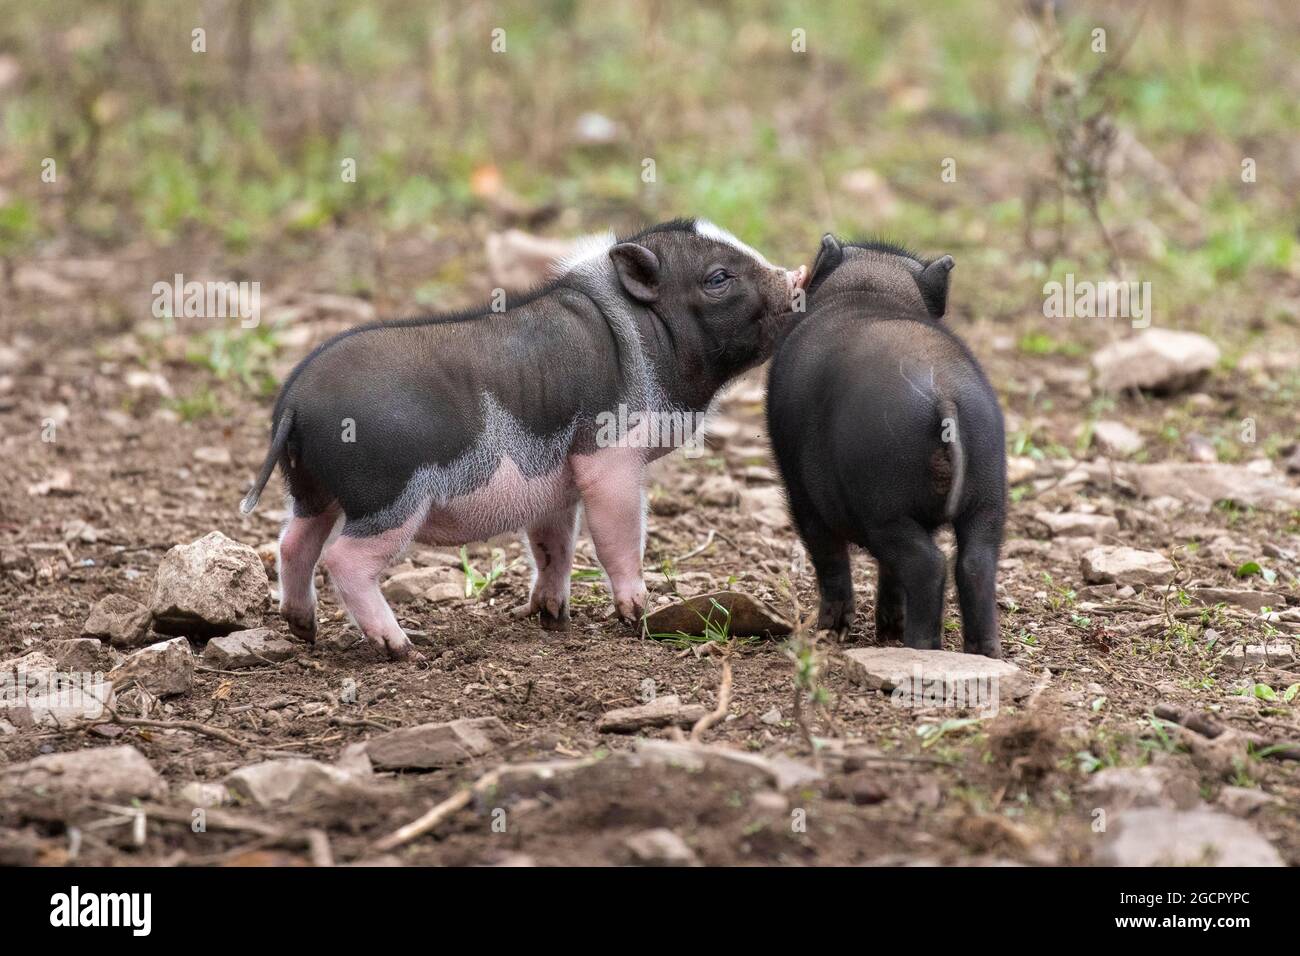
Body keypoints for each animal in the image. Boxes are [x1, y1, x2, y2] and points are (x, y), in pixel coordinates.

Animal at [241, 219, 807, 659]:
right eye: (718, 277)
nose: (799, 275)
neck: (641, 334)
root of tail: (294, 401)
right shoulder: (609, 457)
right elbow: (619, 535)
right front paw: (635, 614)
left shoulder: (556, 482)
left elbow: (554, 544)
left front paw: (552, 617)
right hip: (389, 497)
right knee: (343, 559)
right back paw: (403, 648)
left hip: (312, 487)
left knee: (293, 541)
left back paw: (304, 630)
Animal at [766, 235, 1006, 657]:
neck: (871, 289)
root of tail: (942, 394)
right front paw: (885, 632)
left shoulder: (801, 492)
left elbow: (828, 556)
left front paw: (830, 634)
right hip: (988, 492)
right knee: (976, 562)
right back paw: (984, 654)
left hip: (883, 504)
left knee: (928, 565)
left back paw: (918, 647)